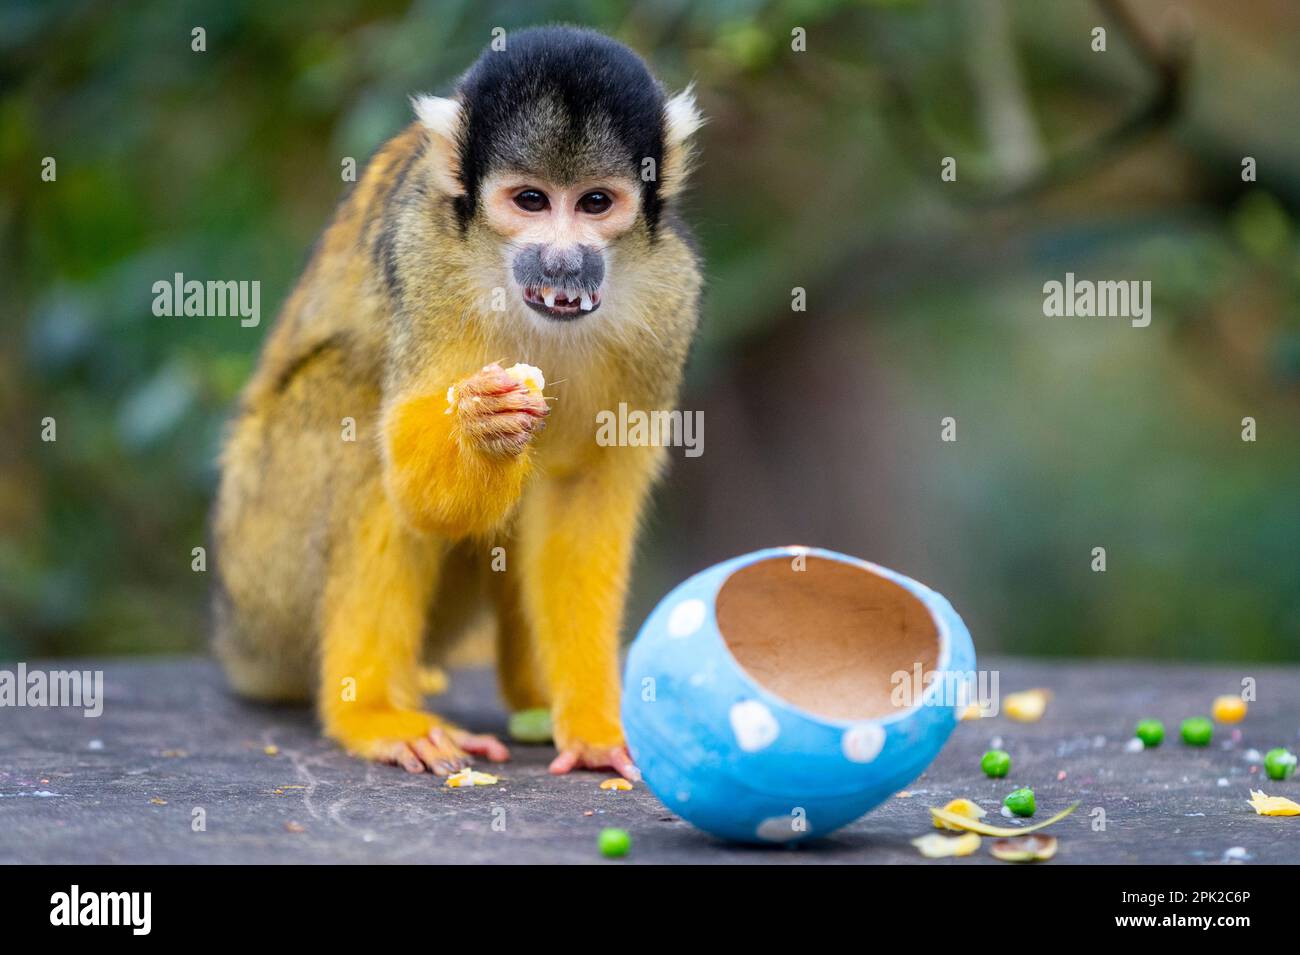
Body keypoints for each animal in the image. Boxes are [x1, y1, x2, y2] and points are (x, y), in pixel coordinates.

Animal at [210, 26, 703, 779]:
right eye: (530, 201)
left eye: (595, 203)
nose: (563, 262)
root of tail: (237, 638)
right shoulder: (428, 257)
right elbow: (415, 490)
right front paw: (480, 429)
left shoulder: (671, 297)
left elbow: (582, 490)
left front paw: (593, 724)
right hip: (261, 564)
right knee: (352, 395)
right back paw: (372, 710)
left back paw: (530, 696)